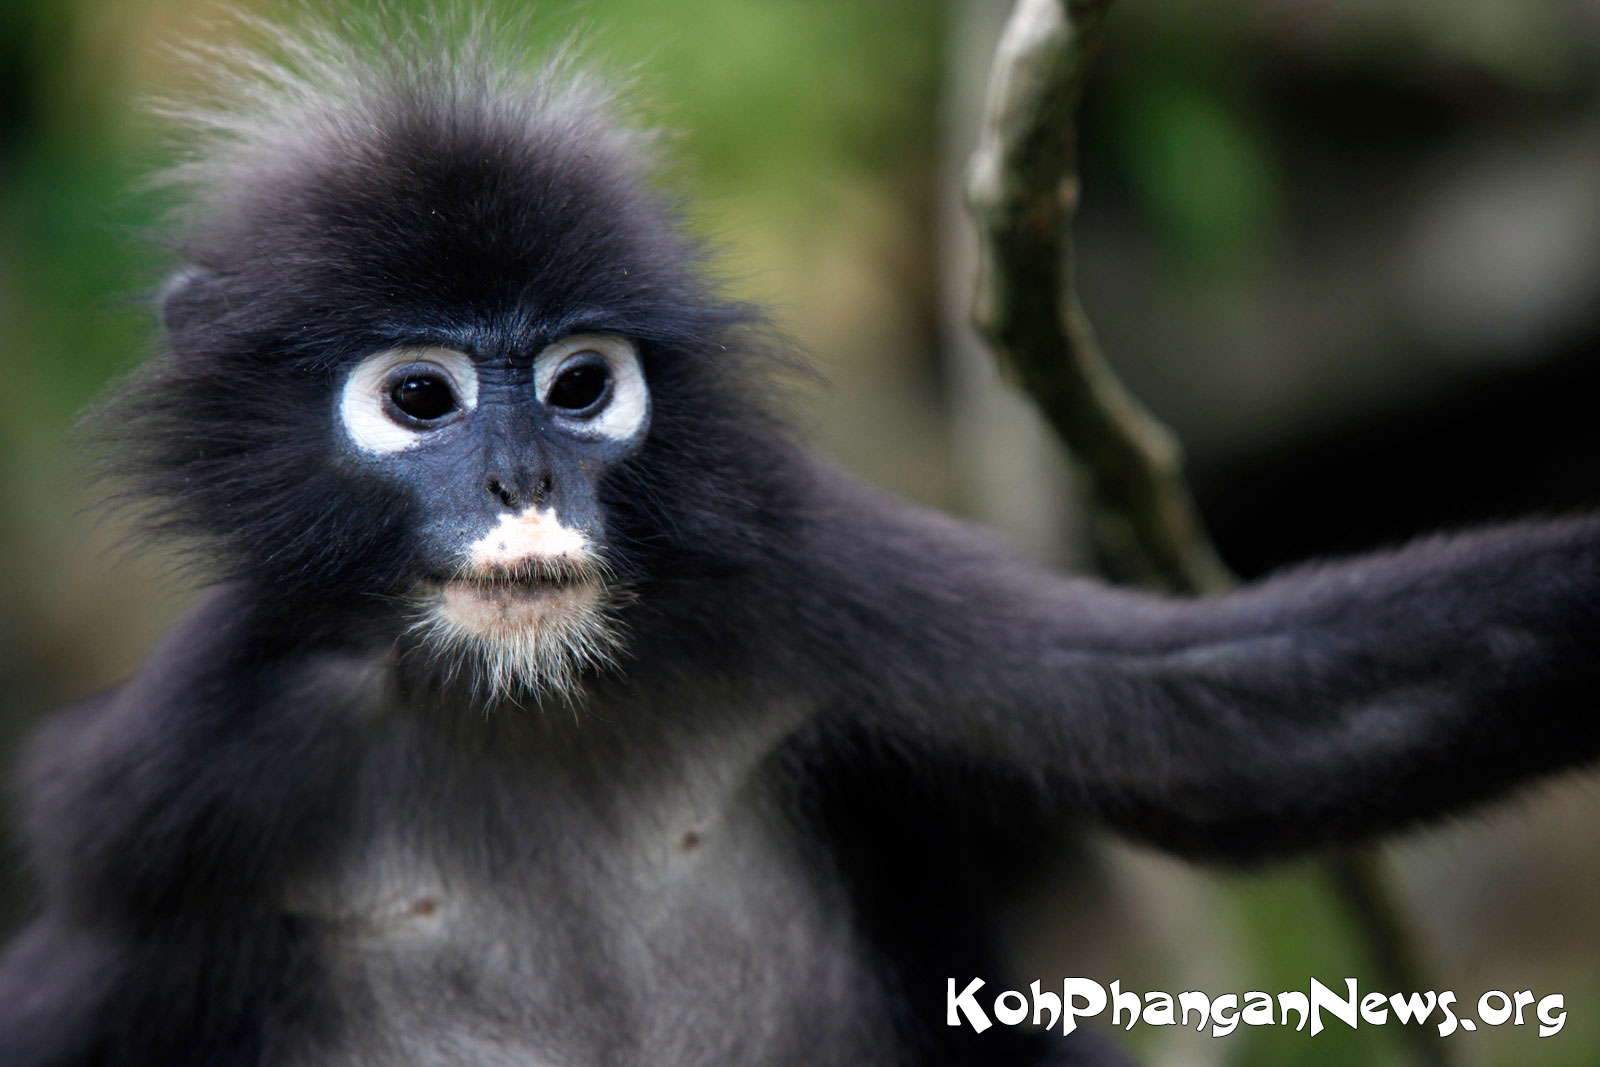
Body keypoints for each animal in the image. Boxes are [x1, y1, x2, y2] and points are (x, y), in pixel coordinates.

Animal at [2, 20, 1600, 1067]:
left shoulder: (799, 574)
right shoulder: (166, 791)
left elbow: (1235, 727)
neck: (514, 699)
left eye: (580, 383)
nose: (526, 473)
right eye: (419, 398)